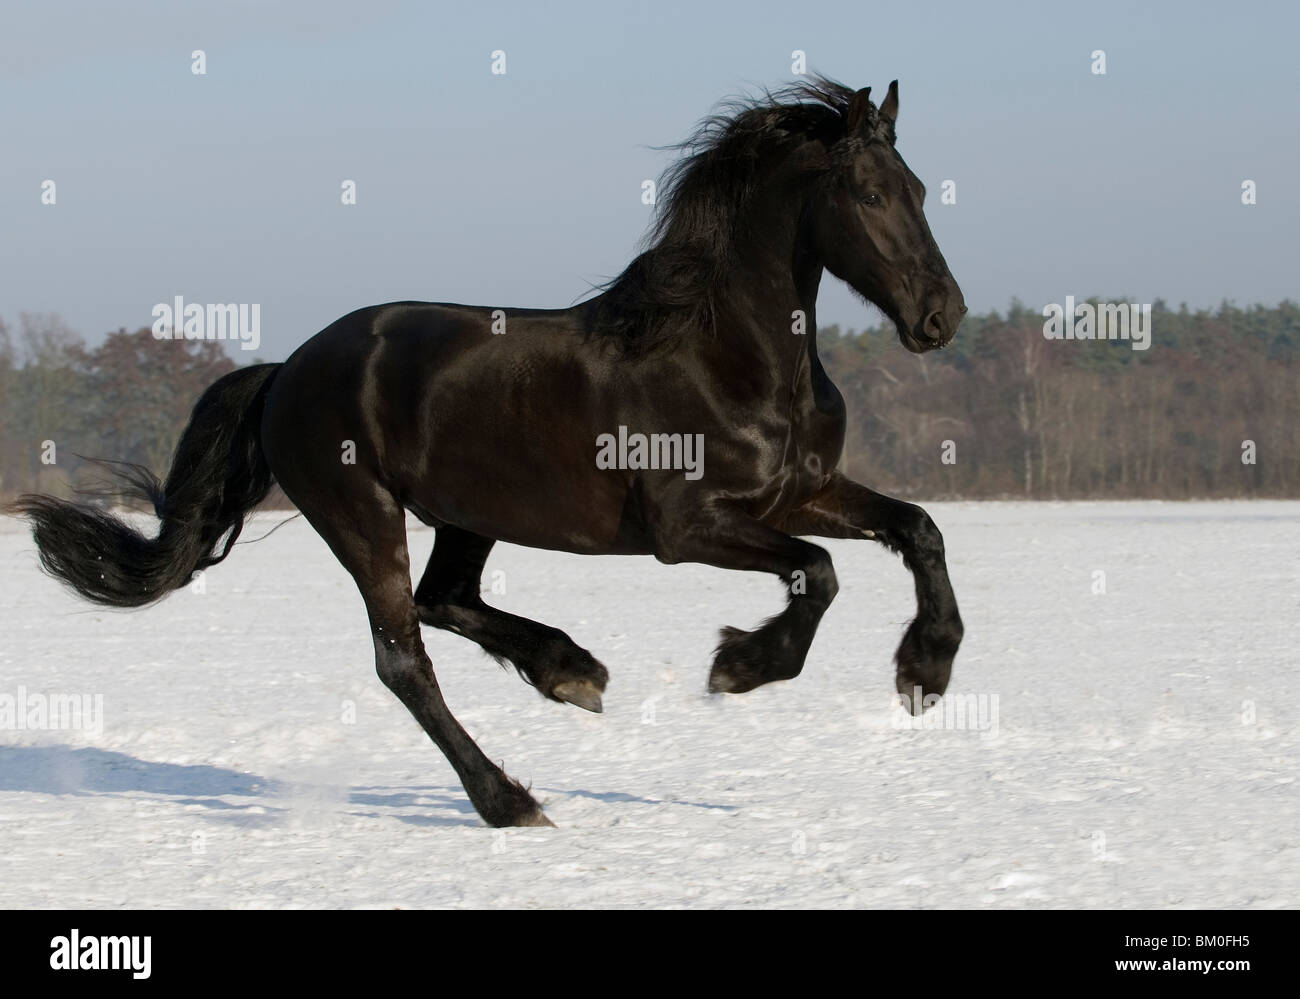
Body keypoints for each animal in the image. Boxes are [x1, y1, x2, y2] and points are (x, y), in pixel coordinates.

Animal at [14, 76, 966, 828]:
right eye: (870, 194)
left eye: (920, 187)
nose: (941, 316)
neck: (728, 354)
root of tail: (287, 369)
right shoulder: (688, 527)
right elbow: (819, 572)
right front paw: (740, 665)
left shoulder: (799, 491)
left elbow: (917, 529)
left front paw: (925, 671)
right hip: (363, 516)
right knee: (404, 655)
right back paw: (511, 799)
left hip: (469, 512)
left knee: (444, 600)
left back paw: (572, 670)